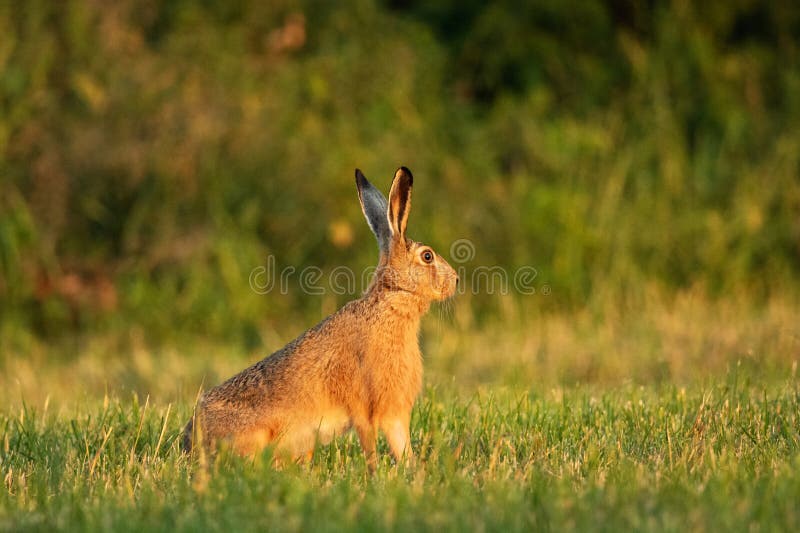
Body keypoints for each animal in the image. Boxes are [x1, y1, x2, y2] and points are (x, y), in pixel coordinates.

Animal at [182, 167, 458, 470]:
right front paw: (375, 474)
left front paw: (413, 471)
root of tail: (189, 440)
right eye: (427, 256)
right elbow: (370, 445)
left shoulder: (394, 414)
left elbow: (401, 447)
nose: (456, 280)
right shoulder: (365, 408)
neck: (390, 305)